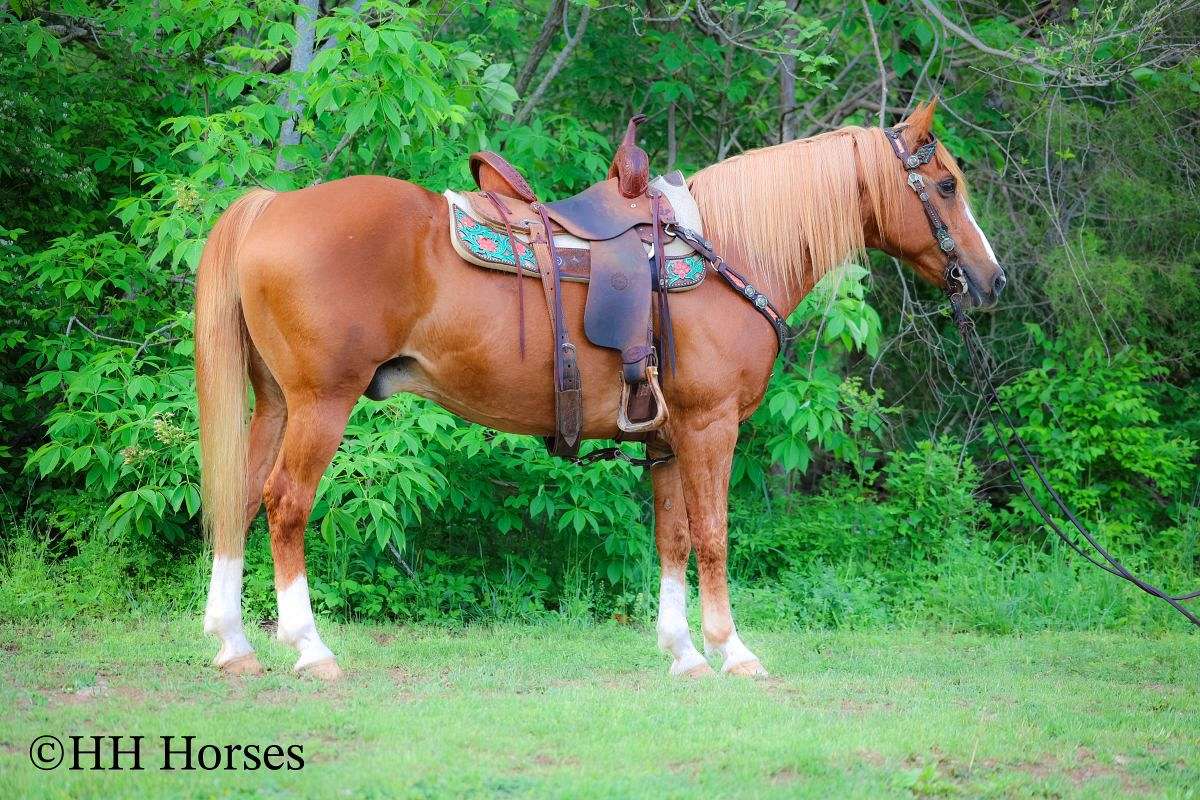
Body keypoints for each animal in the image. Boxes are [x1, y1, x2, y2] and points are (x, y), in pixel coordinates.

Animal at [196, 99, 1004, 680]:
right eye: (944, 185)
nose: (993, 280)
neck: (727, 254)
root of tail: (274, 205)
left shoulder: (669, 437)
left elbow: (673, 537)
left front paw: (684, 654)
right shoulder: (711, 428)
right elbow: (714, 535)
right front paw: (733, 651)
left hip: (275, 404)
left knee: (240, 498)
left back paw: (234, 644)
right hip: (320, 404)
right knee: (285, 503)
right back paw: (310, 648)